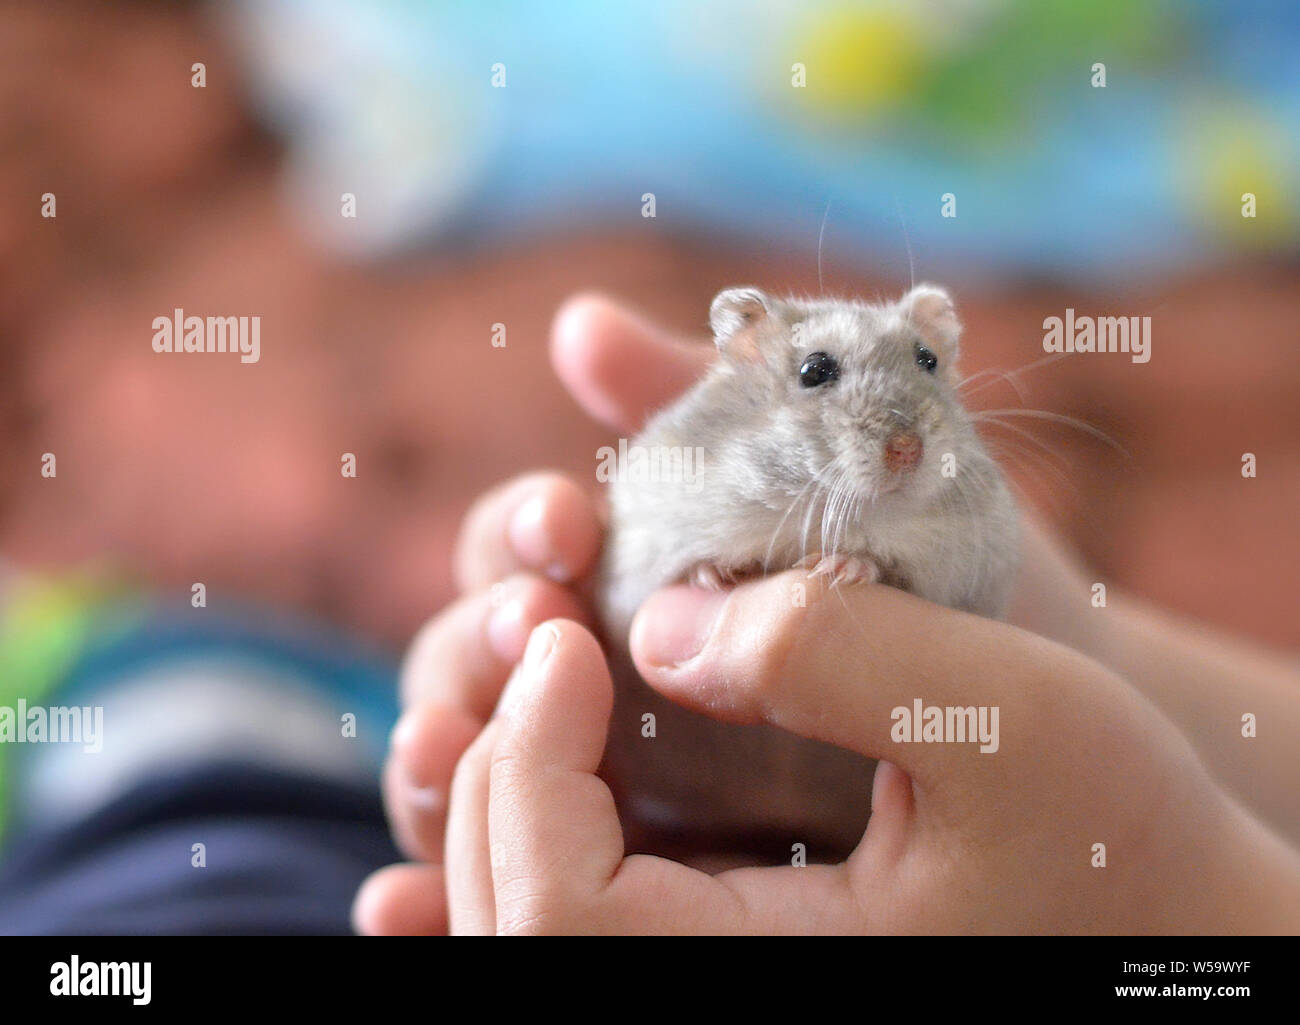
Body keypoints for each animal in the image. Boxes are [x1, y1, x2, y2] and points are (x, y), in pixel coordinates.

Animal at [595, 284, 1020, 865]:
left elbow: (893, 569)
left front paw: (841, 565)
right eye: (815, 370)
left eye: (928, 360)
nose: (907, 450)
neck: (816, 501)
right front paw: (717, 575)